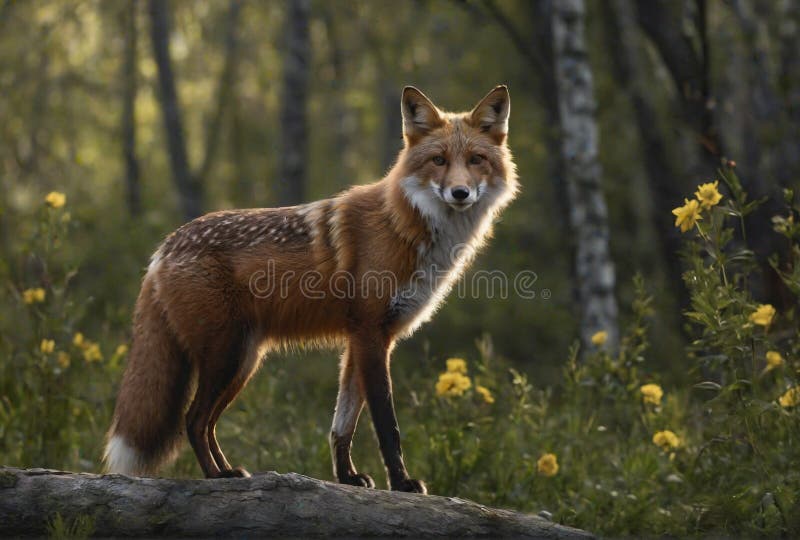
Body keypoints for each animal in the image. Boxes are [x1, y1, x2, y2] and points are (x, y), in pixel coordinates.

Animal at [103, 85, 518, 493]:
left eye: (476, 159)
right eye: (439, 160)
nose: (460, 193)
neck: (404, 225)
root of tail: (164, 247)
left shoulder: (362, 341)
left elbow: (342, 425)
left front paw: (347, 478)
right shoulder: (371, 334)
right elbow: (387, 425)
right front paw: (400, 483)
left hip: (242, 361)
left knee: (205, 423)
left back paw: (229, 472)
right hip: (225, 355)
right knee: (192, 420)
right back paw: (216, 477)